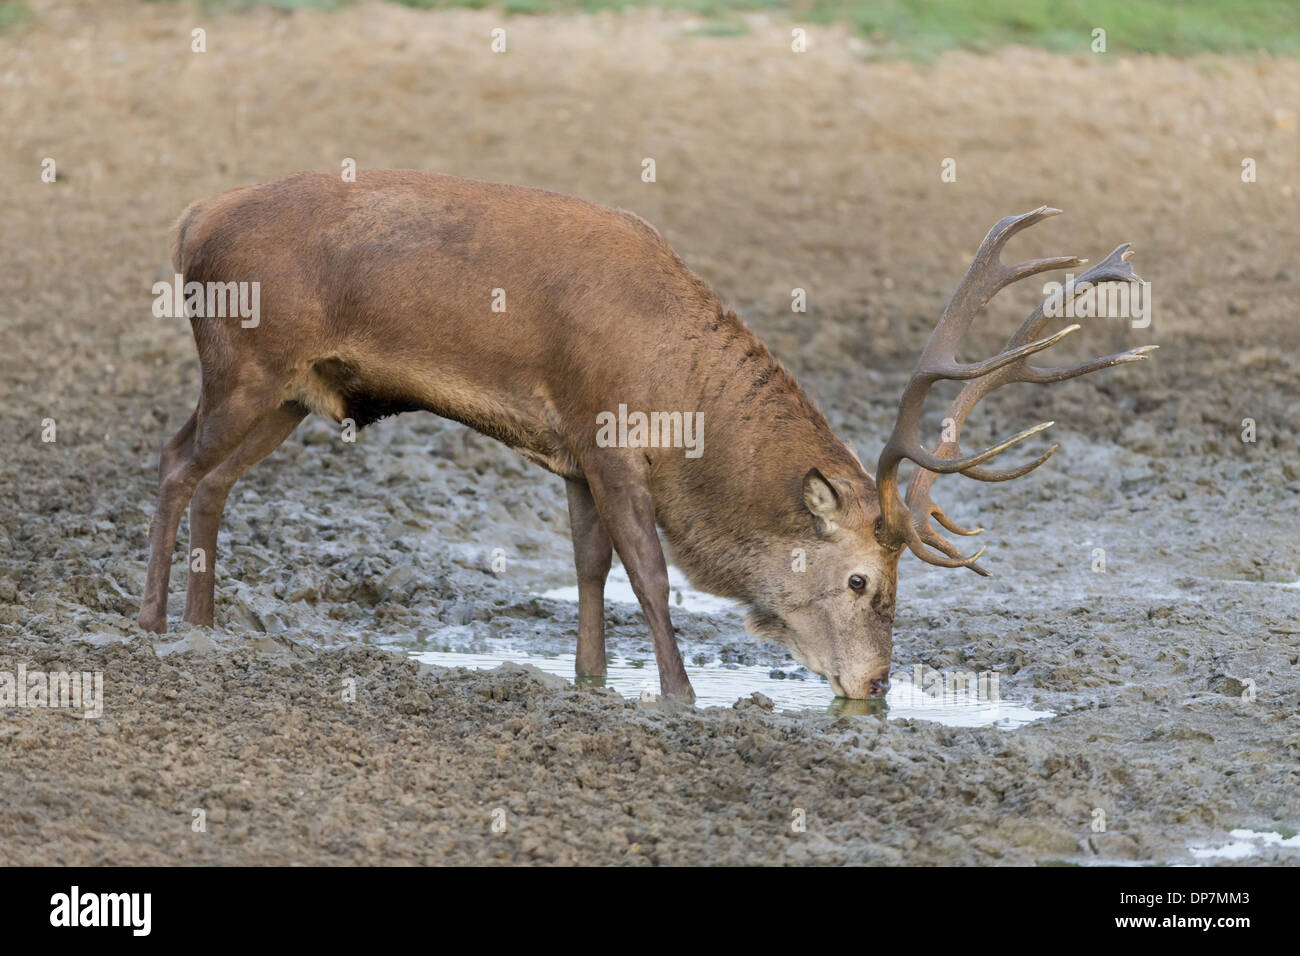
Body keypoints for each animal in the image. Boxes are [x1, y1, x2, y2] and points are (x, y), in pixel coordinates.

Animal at [139, 170, 1155, 701]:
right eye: (862, 580)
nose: (874, 686)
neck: (674, 388)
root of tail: (191, 220)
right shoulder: (608, 433)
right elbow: (651, 572)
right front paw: (680, 695)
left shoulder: (569, 451)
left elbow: (588, 566)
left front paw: (590, 679)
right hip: (244, 362)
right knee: (176, 460)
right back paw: (149, 624)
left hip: (289, 393)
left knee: (217, 480)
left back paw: (204, 627)